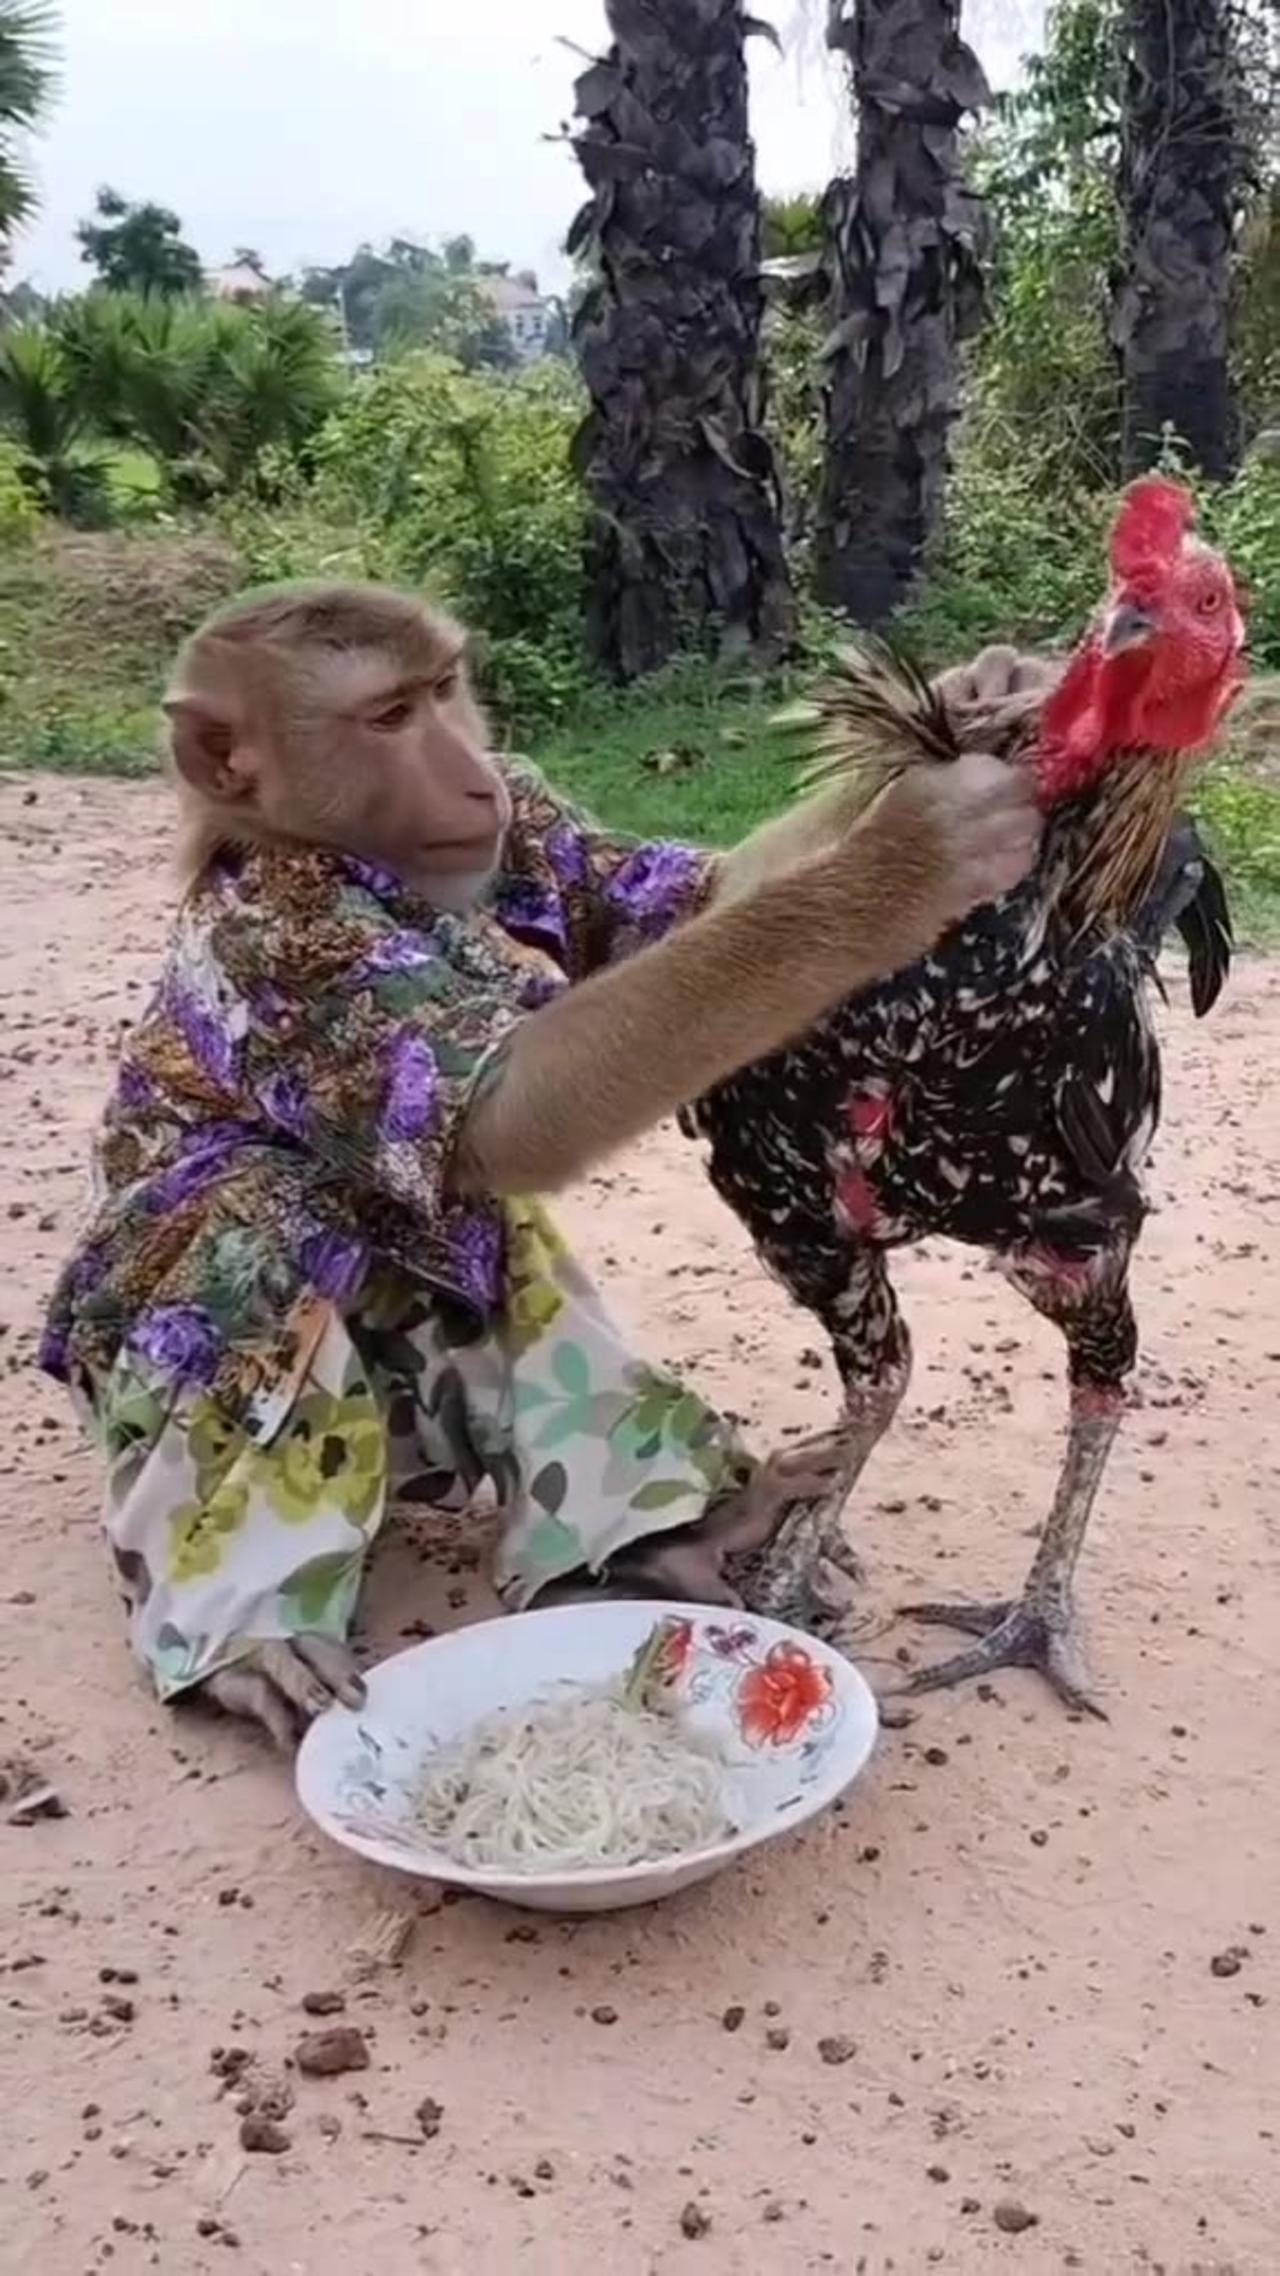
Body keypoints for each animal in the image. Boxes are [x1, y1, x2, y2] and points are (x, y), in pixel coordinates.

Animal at [40, 584, 1042, 1749]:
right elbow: (508, 1104)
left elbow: (672, 900)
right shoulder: (289, 946)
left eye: (441, 693)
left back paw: (684, 1538)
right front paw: (912, 850)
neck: (326, 854)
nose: (472, 772)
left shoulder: (519, 822)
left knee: (472, 1246)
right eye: (387, 718)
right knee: (268, 1206)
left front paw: (987, 687)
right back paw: (250, 1641)